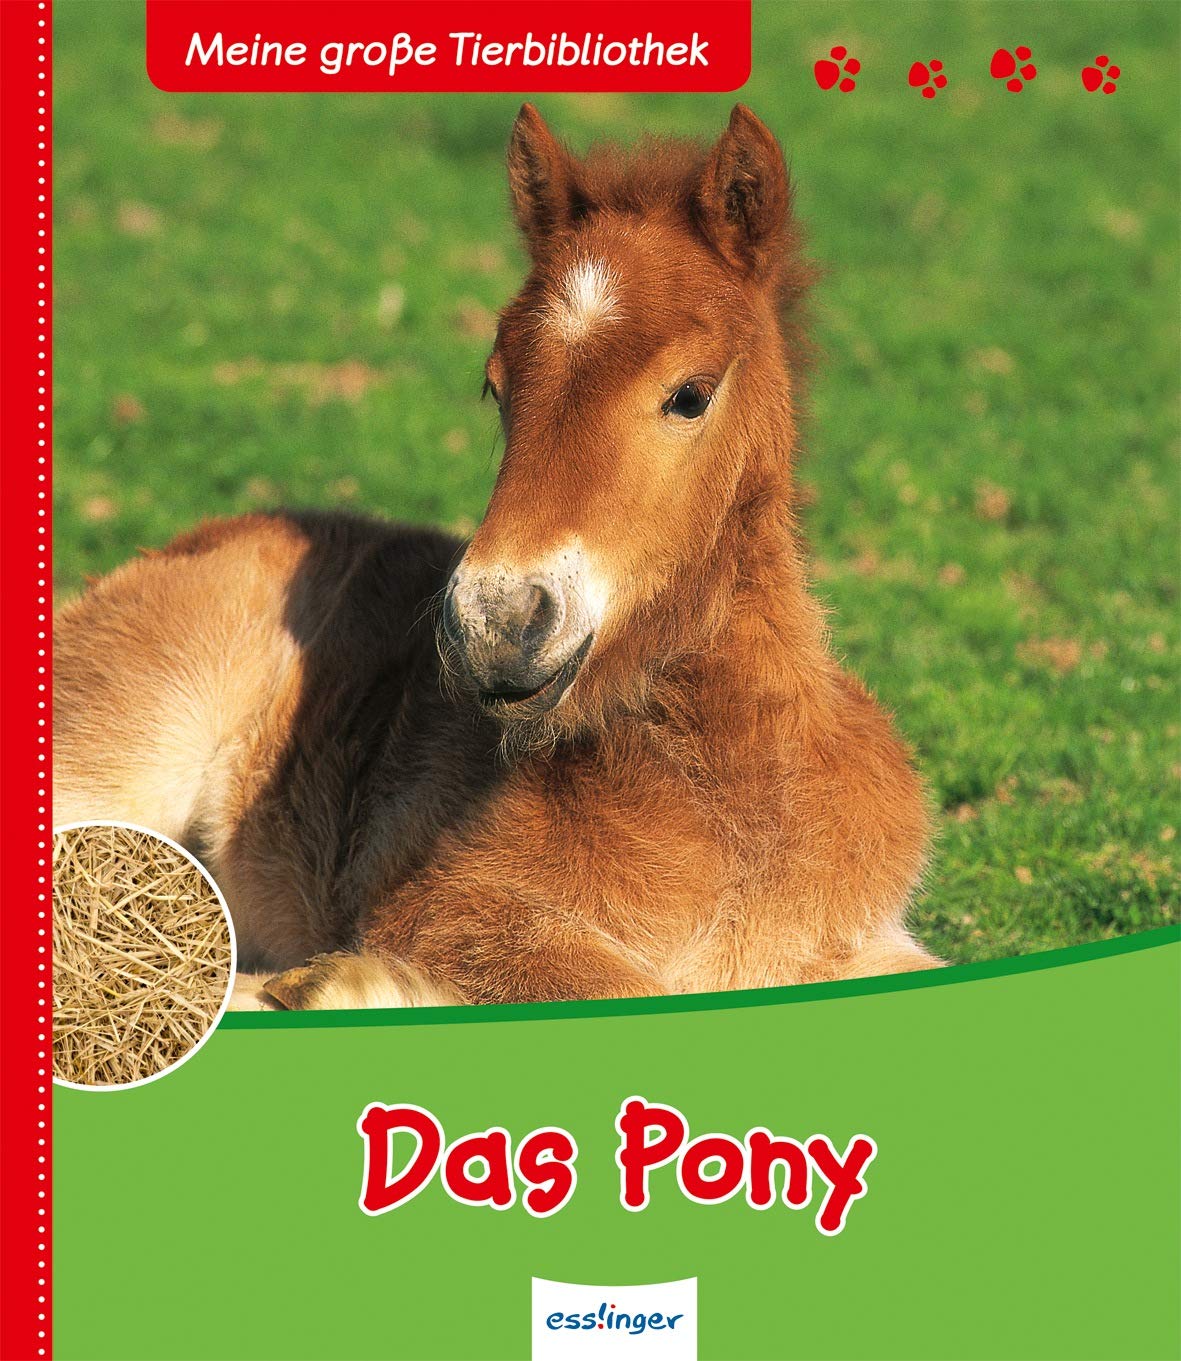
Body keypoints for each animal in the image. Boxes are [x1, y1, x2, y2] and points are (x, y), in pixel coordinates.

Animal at [53, 104, 939, 1009]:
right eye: (496, 385)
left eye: (690, 395)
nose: (495, 624)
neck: (740, 800)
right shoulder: (457, 908)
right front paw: (341, 983)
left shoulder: (867, 937)